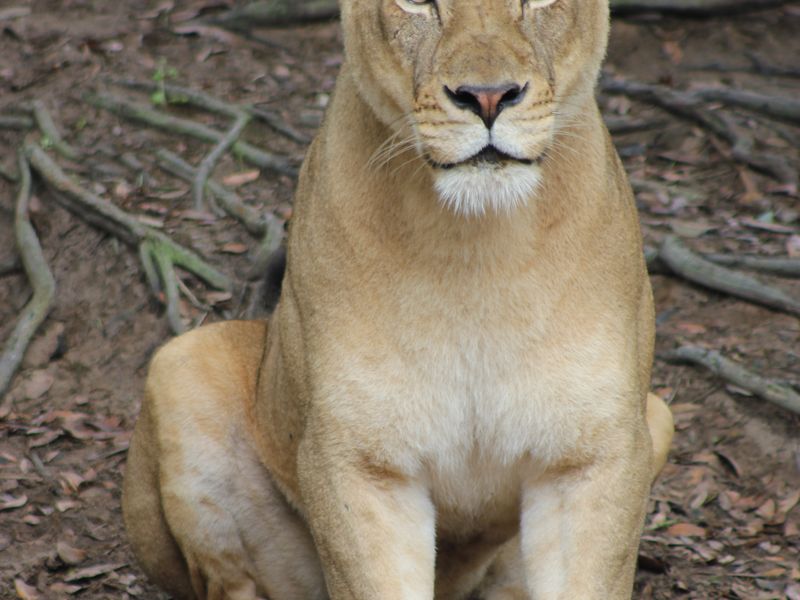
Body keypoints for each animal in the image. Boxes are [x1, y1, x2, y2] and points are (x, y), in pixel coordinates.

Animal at [122, 0, 675, 598]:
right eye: (417, 4)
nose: (487, 97)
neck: (477, 249)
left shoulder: (596, 456)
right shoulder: (359, 464)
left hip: (657, 415)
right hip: (181, 364)